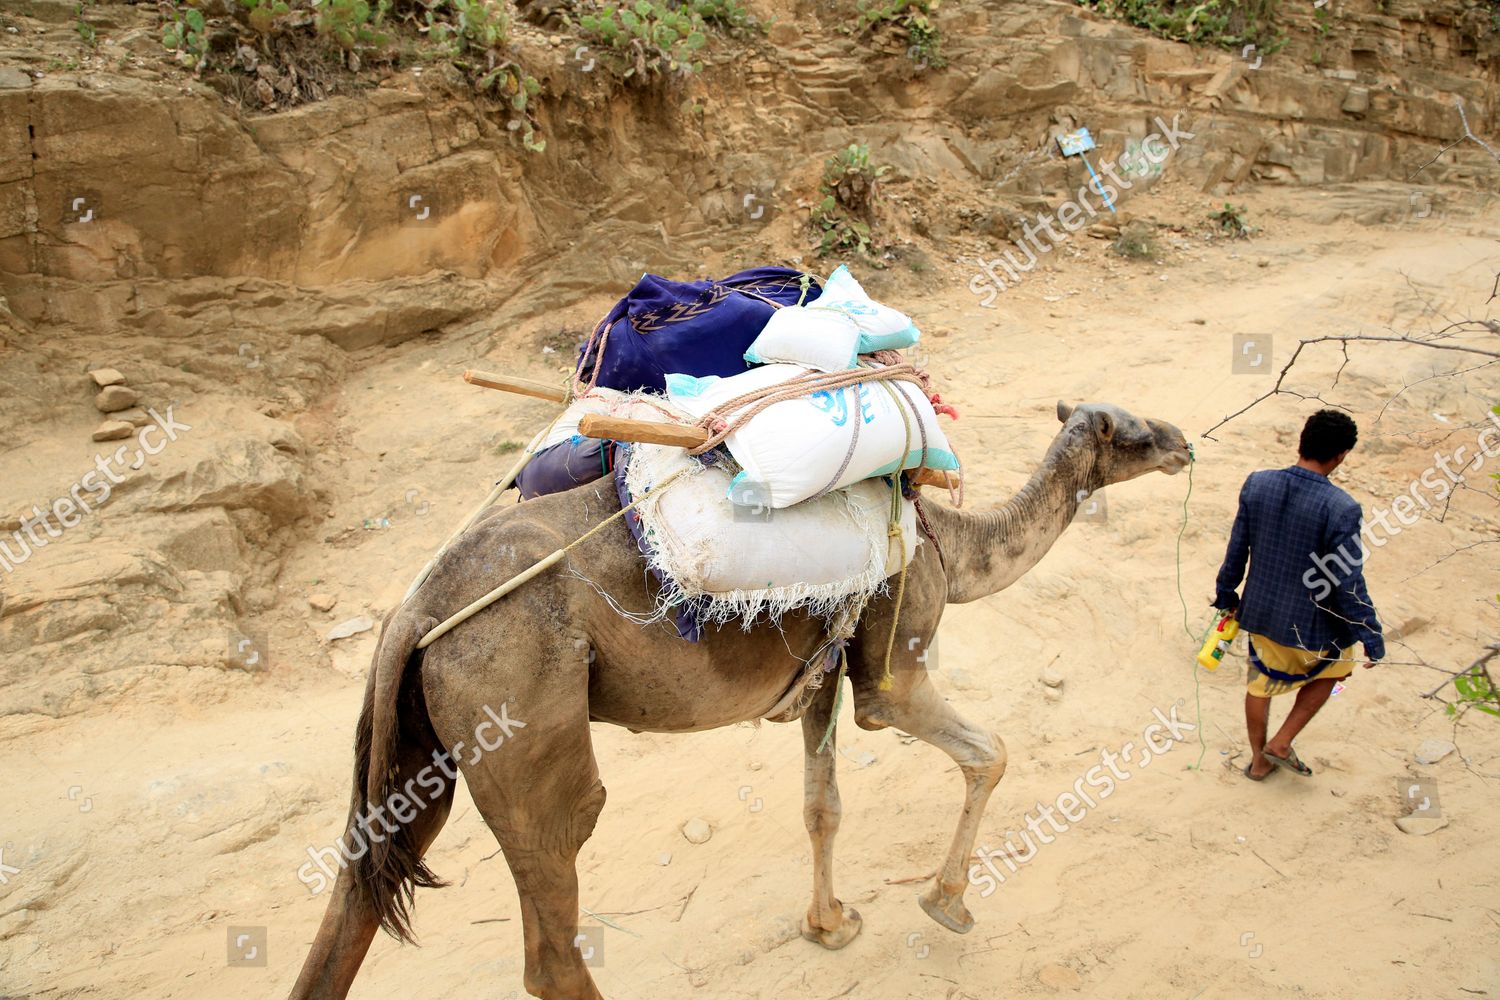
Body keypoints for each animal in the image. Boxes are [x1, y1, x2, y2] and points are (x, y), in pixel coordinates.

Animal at [289, 400, 1191, 1000]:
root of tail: (416, 613)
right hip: (513, 697)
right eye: (1134, 429)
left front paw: (831, 926)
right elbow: (987, 752)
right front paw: (946, 904)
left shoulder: (823, 671)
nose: (1184, 442)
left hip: (419, 739)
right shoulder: (894, 660)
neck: (956, 545)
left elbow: (823, 805)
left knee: (357, 897)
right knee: (555, 902)